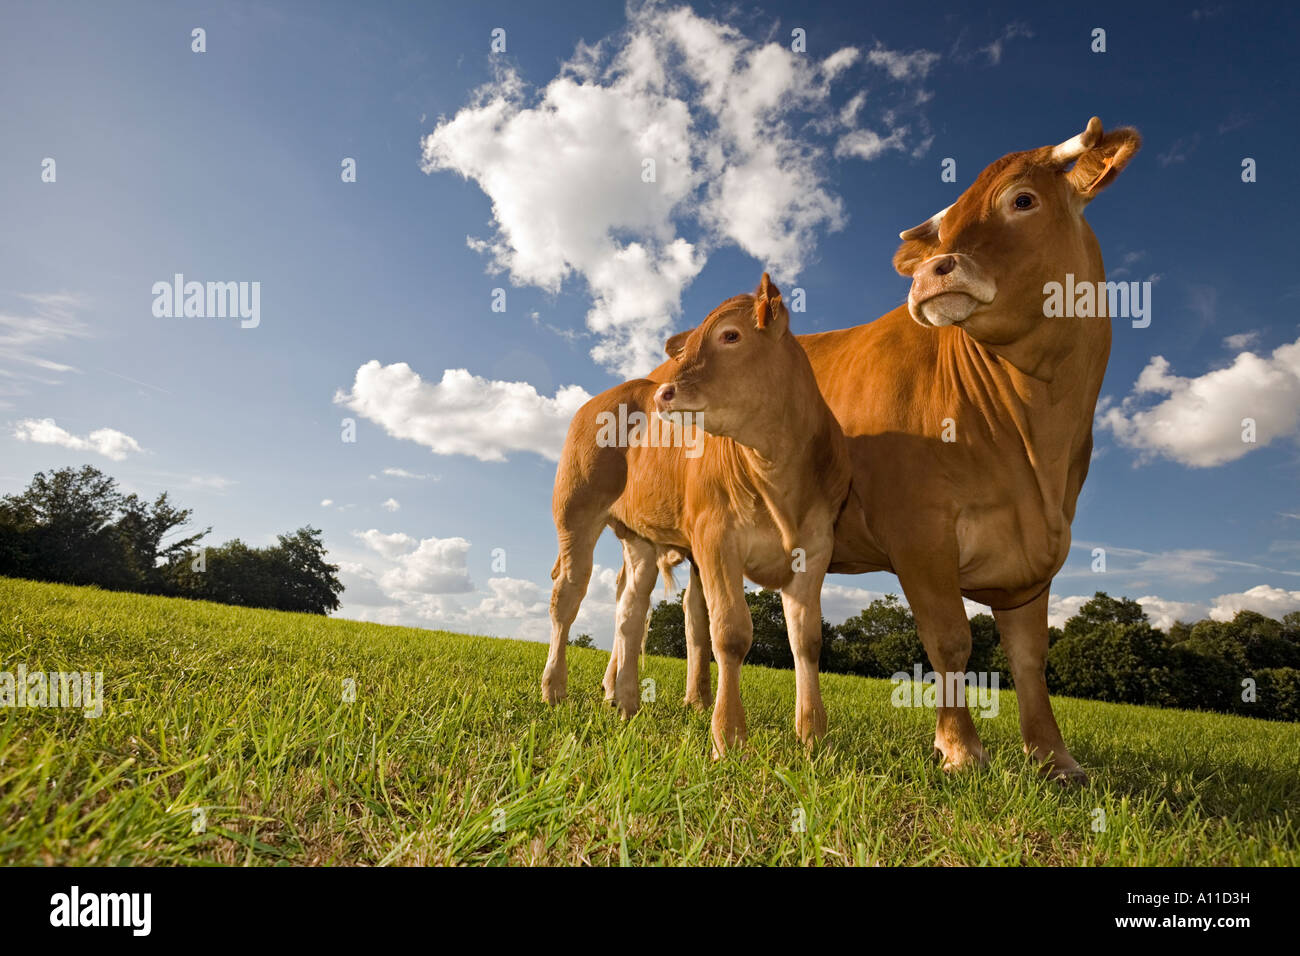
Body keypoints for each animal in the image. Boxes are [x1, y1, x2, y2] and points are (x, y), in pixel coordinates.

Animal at [541, 275, 852, 756]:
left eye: (731, 335)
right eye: (686, 350)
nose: (664, 393)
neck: (777, 473)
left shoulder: (815, 549)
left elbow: (808, 641)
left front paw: (813, 736)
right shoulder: (714, 538)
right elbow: (729, 633)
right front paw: (728, 736)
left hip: (640, 537)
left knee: (631, 610)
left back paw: (626, 701)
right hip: (575, 513)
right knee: (567, 598)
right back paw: (555, 689)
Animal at [655, 118, 1141, 783]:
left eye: (1022, 200)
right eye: (950, 226)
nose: (933, 270)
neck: (1039, 440)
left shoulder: (1036, 555)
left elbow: (1030, 659)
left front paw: (1053, 757)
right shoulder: (920, 534)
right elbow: (951, 640)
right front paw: (960, 748)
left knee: (696, 611)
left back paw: (698, 700)